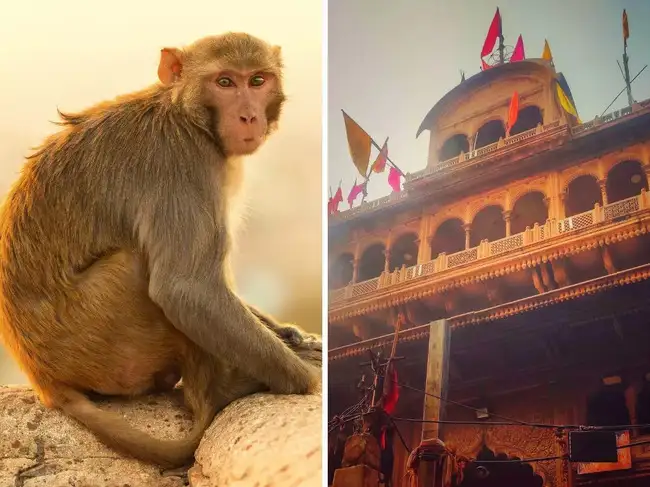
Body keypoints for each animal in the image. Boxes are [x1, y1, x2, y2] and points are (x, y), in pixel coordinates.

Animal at [0, 32, 322, 468]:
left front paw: (290, 335)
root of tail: (45, 380)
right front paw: (307, 380)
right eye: (224, 82)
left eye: (257, 80)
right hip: (103, 341)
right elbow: (186, 289)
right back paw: (220, 390)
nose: (248, 117)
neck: (187, 117)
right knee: (141, 268)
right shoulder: (181, 166)